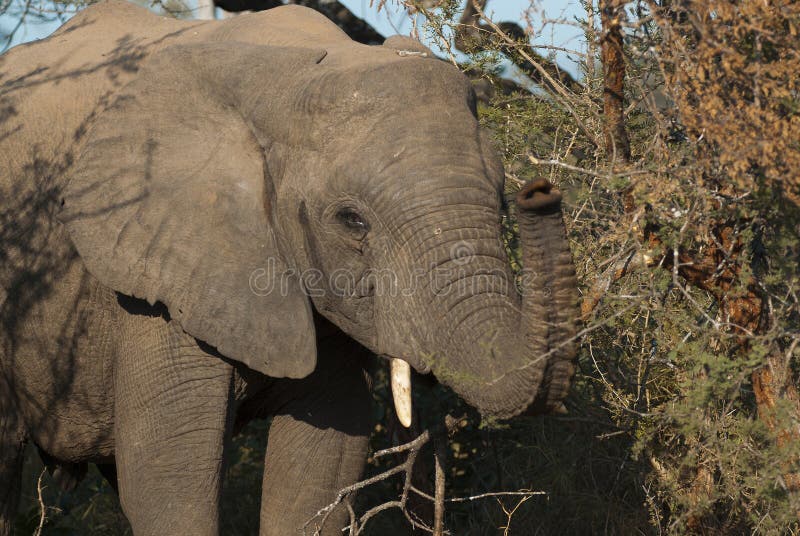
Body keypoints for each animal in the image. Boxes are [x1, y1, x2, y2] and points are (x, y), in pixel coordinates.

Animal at [0, 1, 578, 534]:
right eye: (352, 221)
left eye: (501, 200)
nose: (541, 191)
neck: (291, 73)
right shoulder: (157, 272)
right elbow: (167, 480)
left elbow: (323, 465)